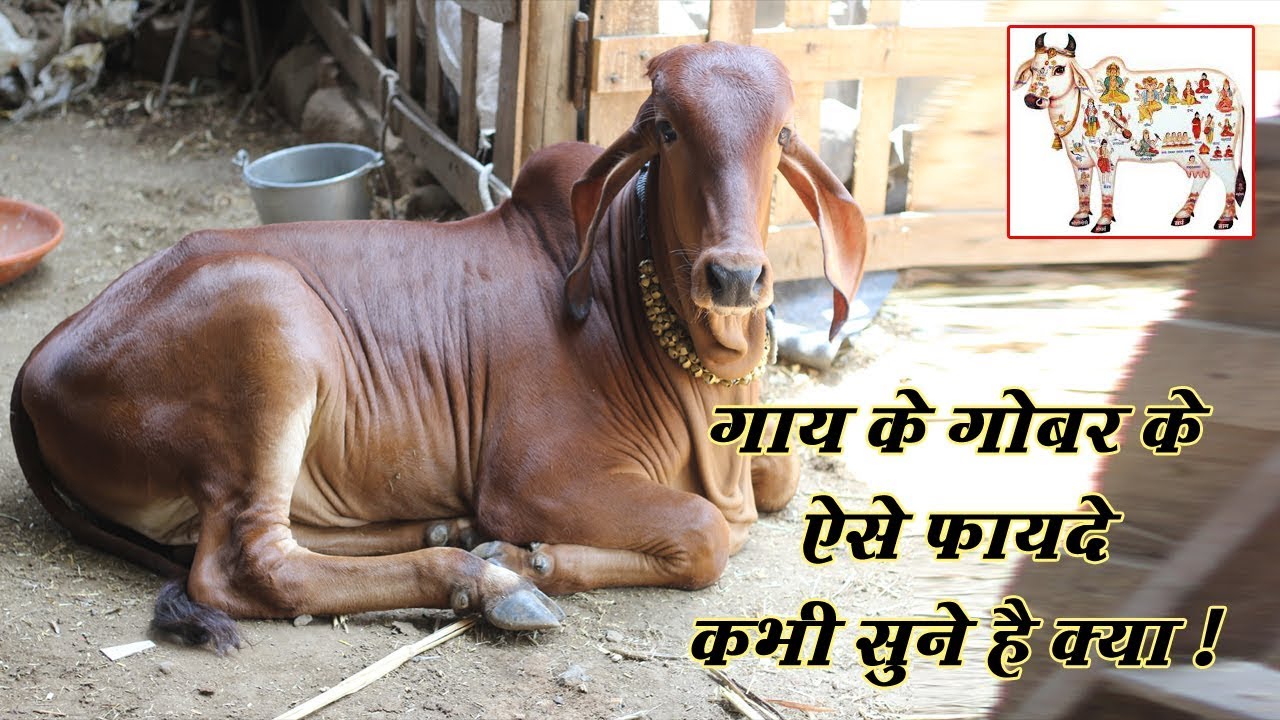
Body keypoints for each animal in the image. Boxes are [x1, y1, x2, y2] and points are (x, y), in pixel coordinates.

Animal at [1013, 32, 1247, 232]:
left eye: (1059, 69)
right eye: (1033, 69)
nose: (1032, 100)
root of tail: (1236, 91)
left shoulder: (1106, 157)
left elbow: (1106, 187)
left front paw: (1103, 222)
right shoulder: (1079, 160)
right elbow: (1083, 186)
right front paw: (1081, 216)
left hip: (1218, 152)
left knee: (1230, 178)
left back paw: (1225, 218)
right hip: (1194, 157)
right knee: (1203, 176)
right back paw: (1183, 213)